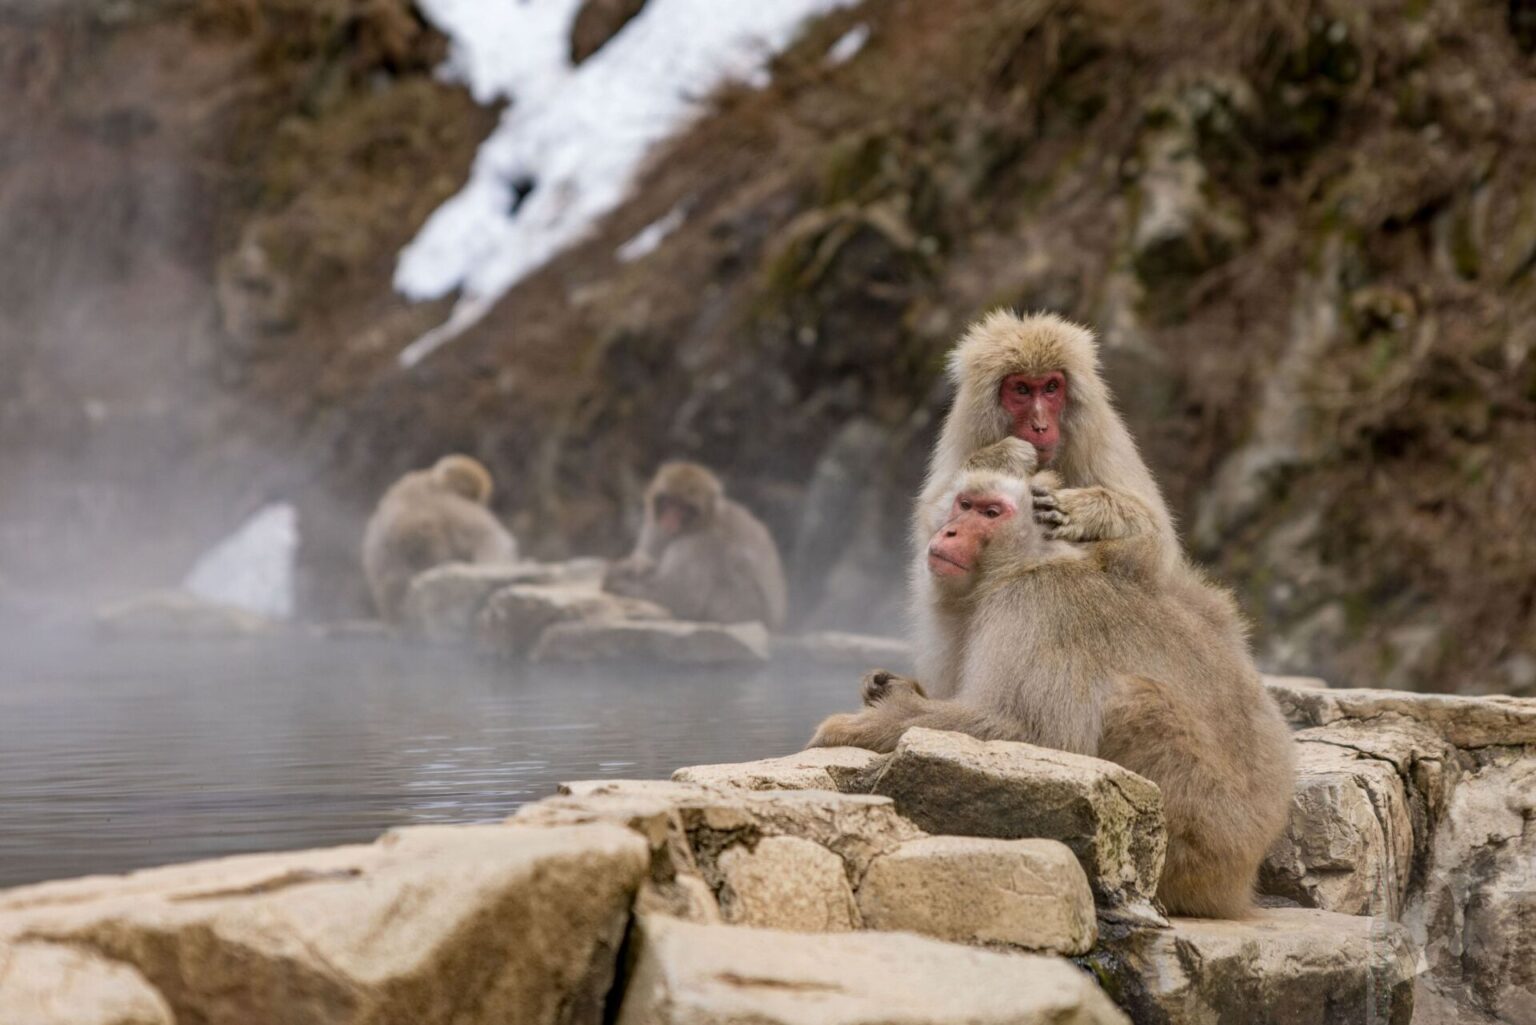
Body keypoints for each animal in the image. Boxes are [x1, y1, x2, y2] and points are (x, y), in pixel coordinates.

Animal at [603, 461, 788, 631]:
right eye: (669, 501)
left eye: (685, 507)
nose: (670, 519)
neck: (704, 521)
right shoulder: (654, 526)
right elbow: (648, 560)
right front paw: (631, 566)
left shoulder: (698, 544)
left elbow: (680, 596)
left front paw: (616, 580)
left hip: (746, 608)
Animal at [811, 439, 1295, 918]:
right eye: (964, 504)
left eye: (991, 512)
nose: (948, 533)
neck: (1026, 562)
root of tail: (1243, 877)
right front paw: (887, 687)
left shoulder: (1036, 607)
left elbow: (1040, 734)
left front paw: (862, 725)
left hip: (1202, 841)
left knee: (1134, 703)